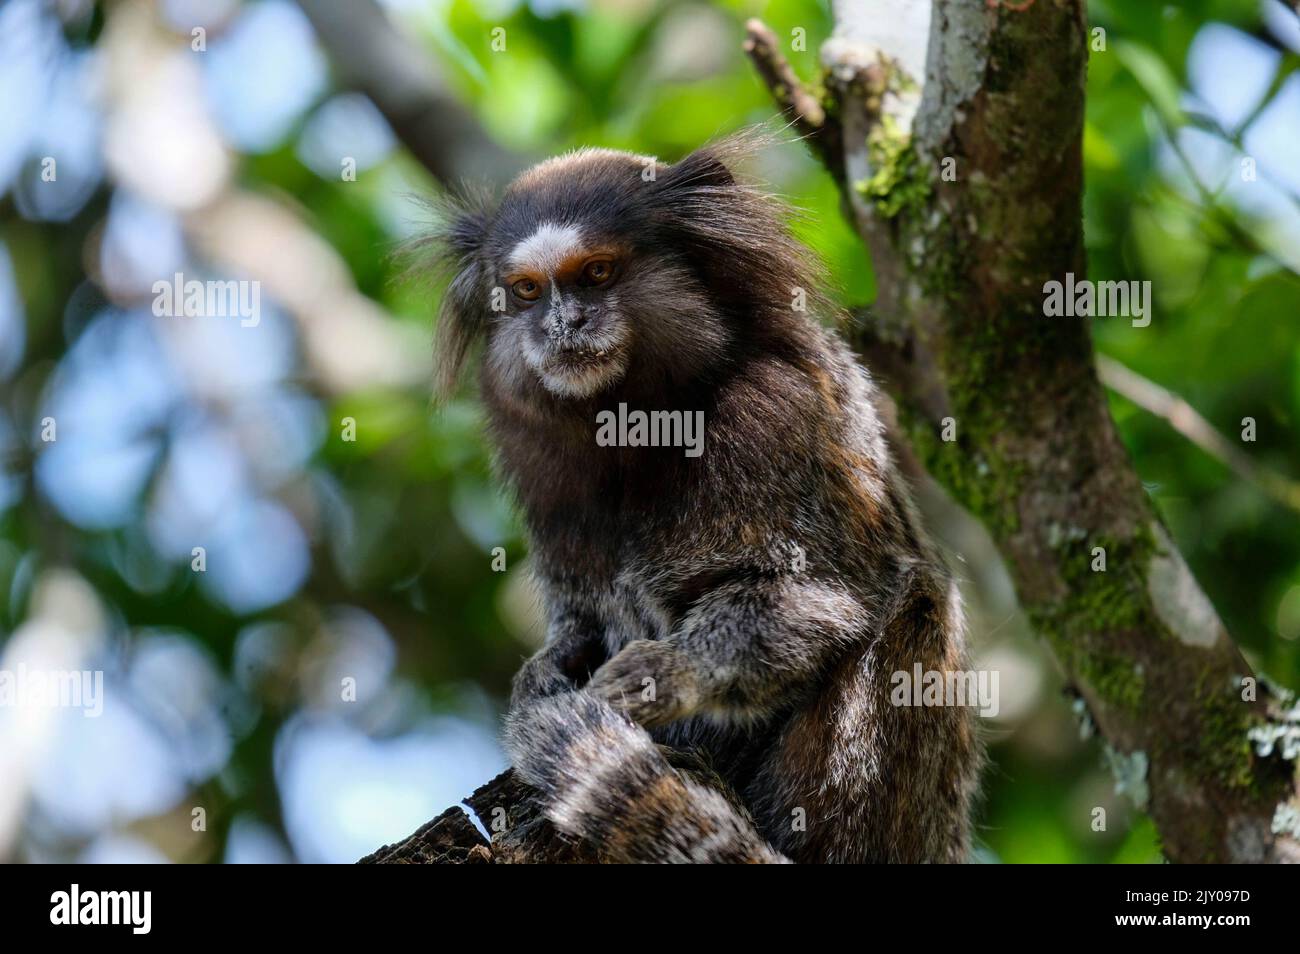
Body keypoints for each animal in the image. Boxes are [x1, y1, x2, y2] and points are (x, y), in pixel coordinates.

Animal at [425, 131, 982, 863]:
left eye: (596, 273)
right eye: (526, 291)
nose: (564, 322)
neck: (637, 425)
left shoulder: (780, 418)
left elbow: (818, 599)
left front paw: (668, 673)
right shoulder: (538, 470)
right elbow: (579, 618)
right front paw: (547, 669)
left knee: (918, 599)